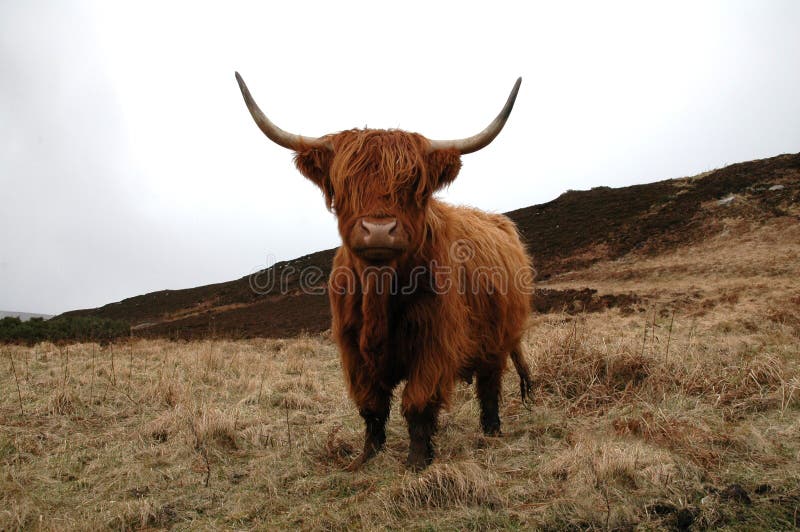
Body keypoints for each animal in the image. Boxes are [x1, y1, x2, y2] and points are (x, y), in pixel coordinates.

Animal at [236, 73, 534, 470]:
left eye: (413, 186)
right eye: (344, 184)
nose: (378, 230)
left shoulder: (434, 343)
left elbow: (418, 402)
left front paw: (417, 460)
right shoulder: (351, 349)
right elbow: (371, 405)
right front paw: (366, 456)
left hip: (499, 339)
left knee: (490, 384)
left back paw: (492, 431)